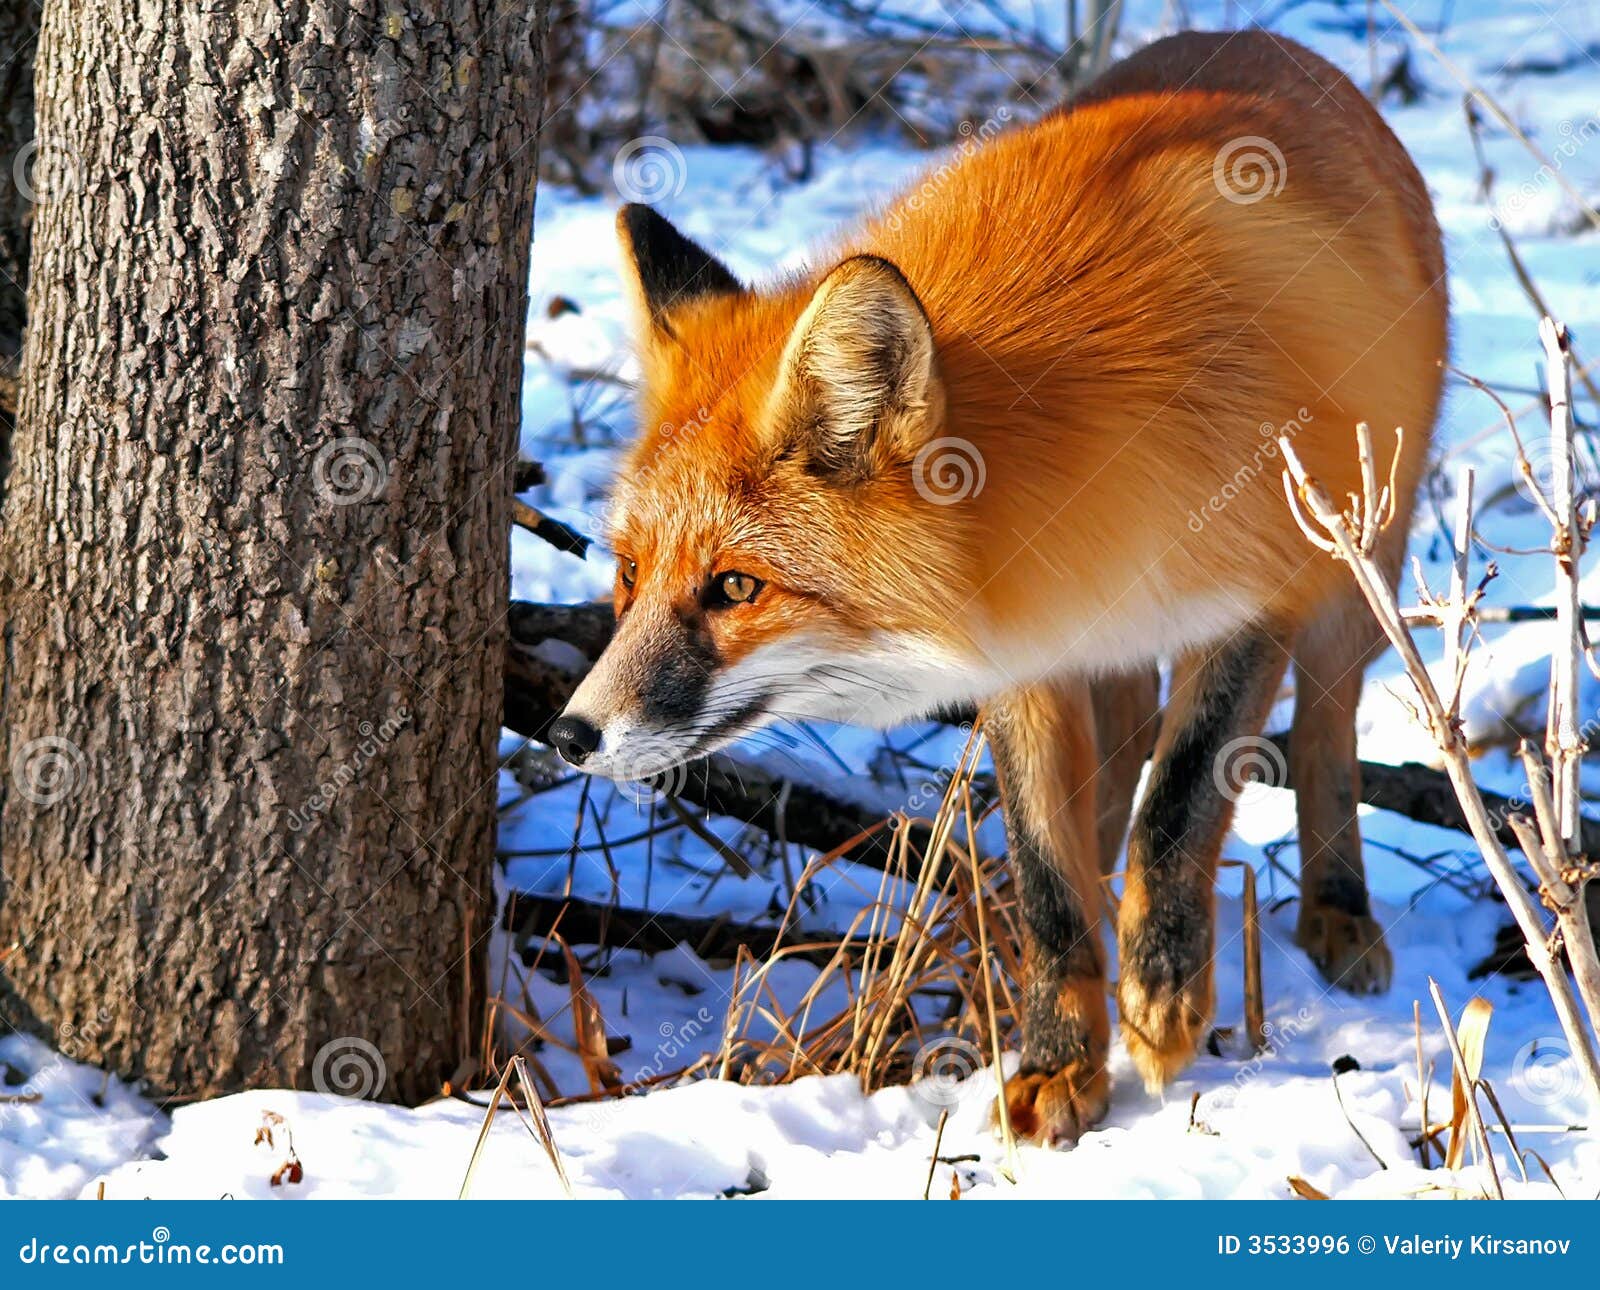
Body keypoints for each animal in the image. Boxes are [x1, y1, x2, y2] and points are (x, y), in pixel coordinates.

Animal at [548, 29, 1447, 1145]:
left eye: (734, 587)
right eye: (629, 574)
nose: (569, 734)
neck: (1104, 465)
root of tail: (1266, 40)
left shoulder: (1256, 601)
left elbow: (1180, 803)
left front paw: (1162, 1001)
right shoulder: (1029, 648)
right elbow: (1048, 875)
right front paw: (1061, 1059)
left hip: (1355, 570)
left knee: (1326, 725)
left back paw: (1336, 908)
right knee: (1112, 773)